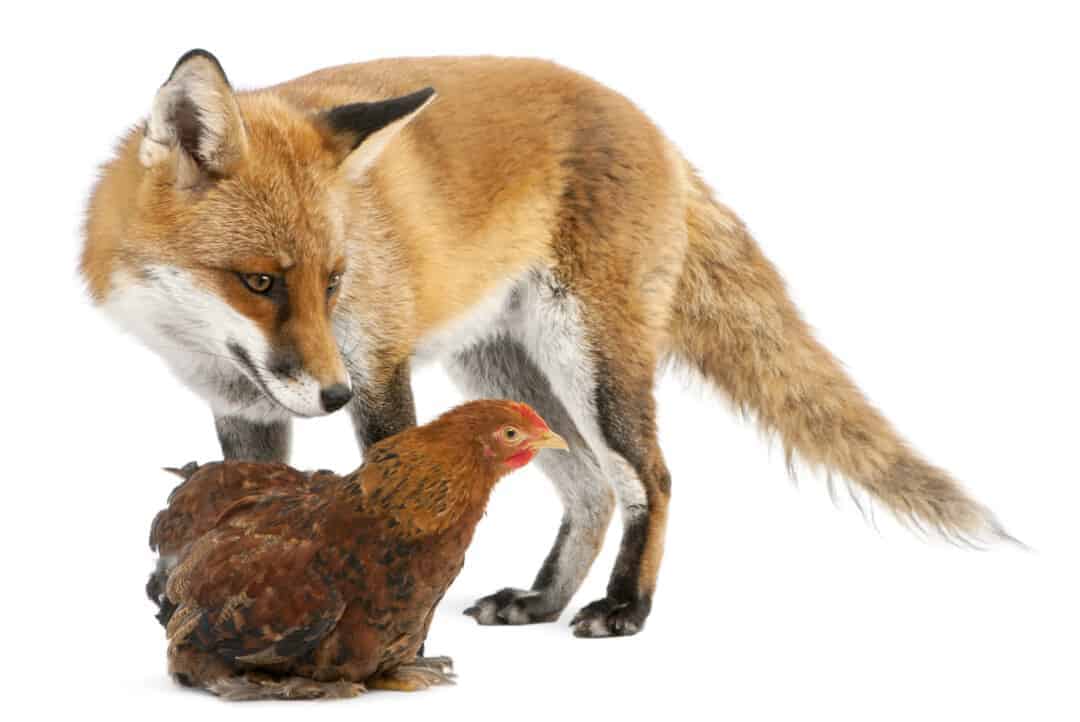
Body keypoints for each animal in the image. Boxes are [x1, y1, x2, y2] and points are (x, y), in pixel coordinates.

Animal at [82, 49, 1010, 638]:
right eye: (261, 283)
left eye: (335, 280)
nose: (332, 394)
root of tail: (652, 126)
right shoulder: (242, 404)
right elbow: (246, 504)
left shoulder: (379, 365)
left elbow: (391, 505)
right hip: (504, 370)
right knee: (593, 489)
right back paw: (542, 600)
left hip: (589, 363)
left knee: (650, 479)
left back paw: (625, 608)